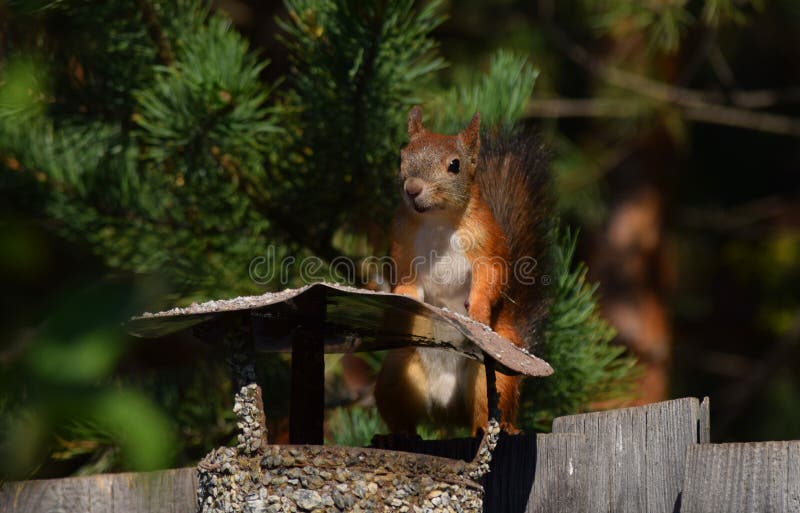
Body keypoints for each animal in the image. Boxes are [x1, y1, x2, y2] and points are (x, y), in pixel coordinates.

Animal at [374, 106, 551, 435]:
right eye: (401, 157)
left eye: (454, 165)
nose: (412, 189)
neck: (437, 221)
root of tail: (447, 408)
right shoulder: (402, 247)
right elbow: (405, 282)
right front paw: (402, 299)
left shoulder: (486, 245)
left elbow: (490, 277)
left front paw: (478, 312)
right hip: (395, 376)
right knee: (403, 419)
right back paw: (394, 437)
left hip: (491, 380)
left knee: (487, 413)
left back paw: (500, 428)